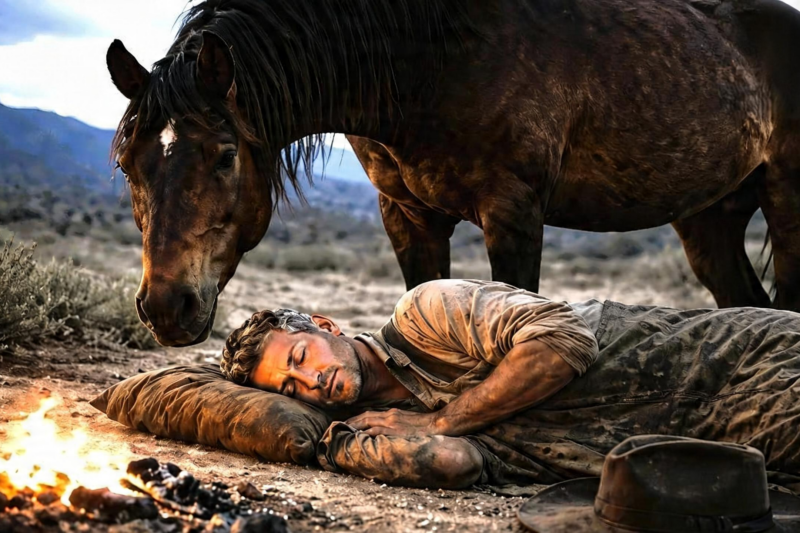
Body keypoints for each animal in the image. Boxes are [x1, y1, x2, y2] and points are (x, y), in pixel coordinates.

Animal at [107, 0, 800, 347]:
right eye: (126, 163)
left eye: (225, 155)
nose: (166, 307)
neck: (430, 56)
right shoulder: (406, 214)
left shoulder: (513, 211)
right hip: (709, 221)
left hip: (787, 201)